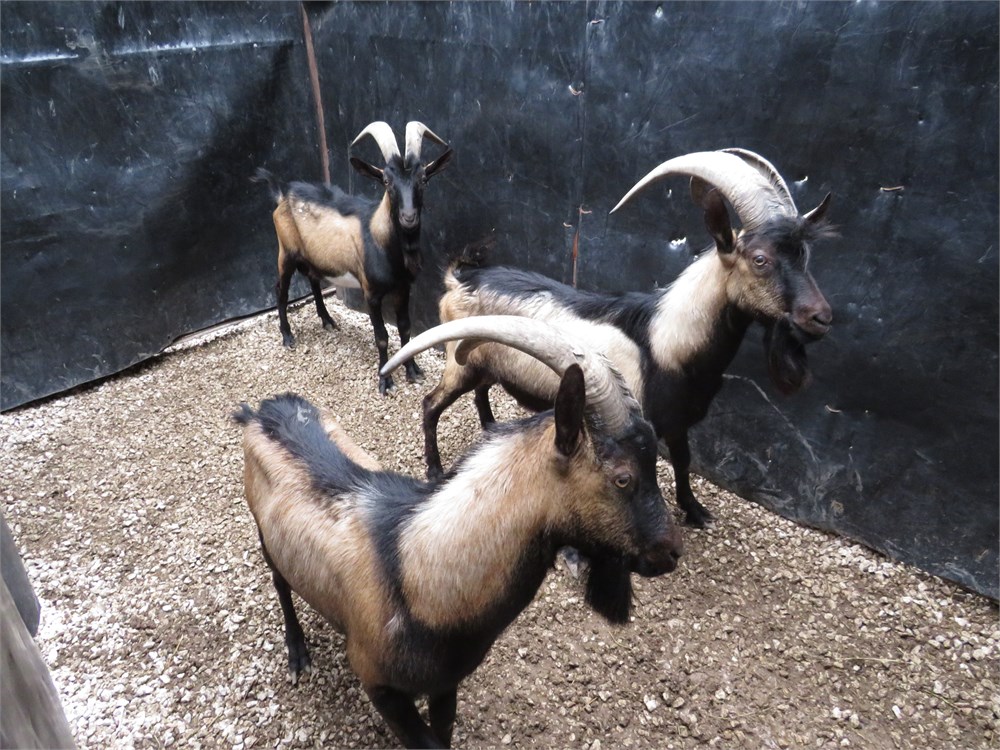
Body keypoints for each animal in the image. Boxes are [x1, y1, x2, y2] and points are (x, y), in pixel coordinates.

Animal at [235, 316, 683, 749]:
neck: (415, 569)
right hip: (263, 533)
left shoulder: (445, 683)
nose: (671, 551)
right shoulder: (378, 683)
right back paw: (297, 655)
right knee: (280, 583)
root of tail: (258, 413)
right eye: (623, 477)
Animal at [254, 120, 452, 394]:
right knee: (280, 289)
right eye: (386, 181)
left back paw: (327, 320)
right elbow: (382, 337)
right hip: (286, 252)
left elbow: (405, 328)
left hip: (312, 255)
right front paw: (385, 382)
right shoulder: (371, 293)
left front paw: (413, 371)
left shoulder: (403, 288)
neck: (381, 239)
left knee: (313, 280)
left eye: (423, 178)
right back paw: (287, 336)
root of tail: (282, 195)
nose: (409, 217)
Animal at [400, 148, 834, 528]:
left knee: (481, 392)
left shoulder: (679, 421)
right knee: (431, 403)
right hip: (459, 362)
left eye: (804, 256)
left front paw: (695, 512)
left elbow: (684, 461)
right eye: (760, 259)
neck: (665, 339)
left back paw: (491, 430)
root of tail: (459, 278)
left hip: (485, 361)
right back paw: (435, 468)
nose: (821, 317)